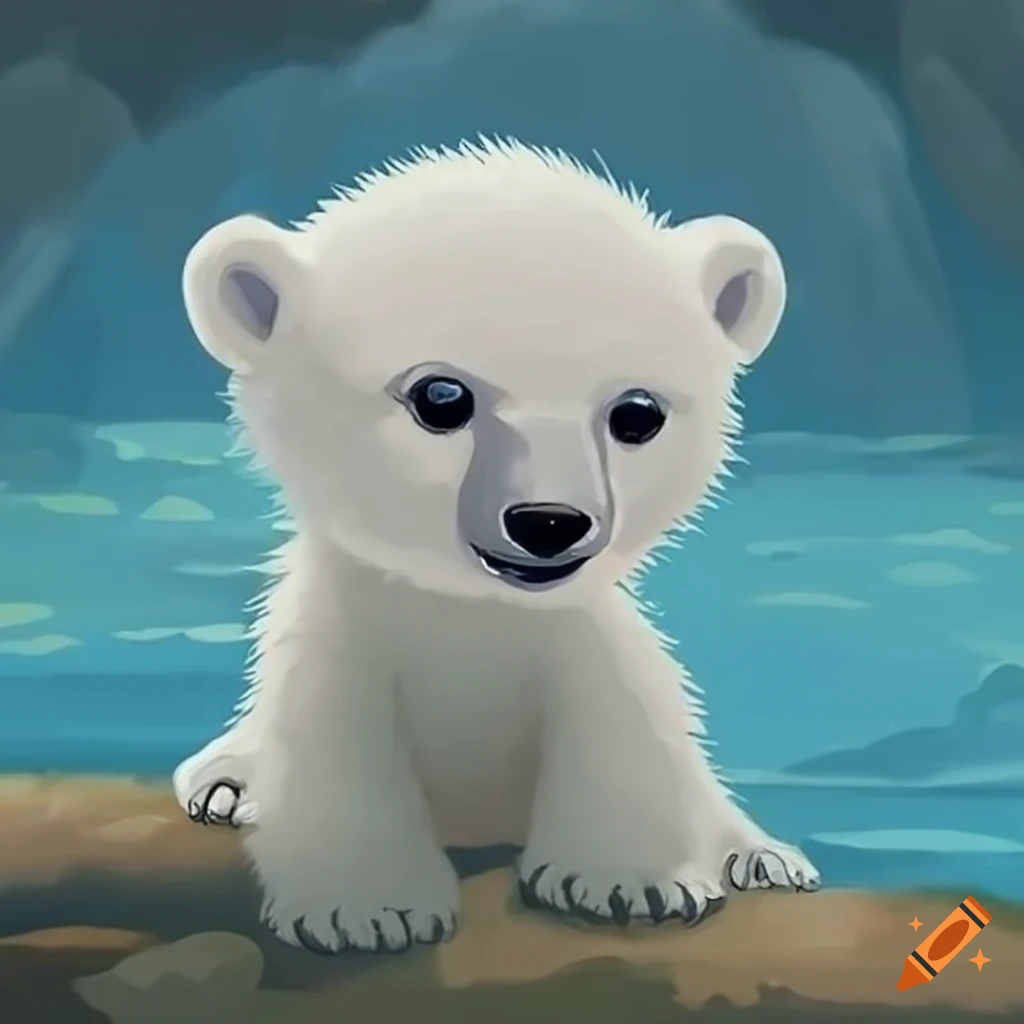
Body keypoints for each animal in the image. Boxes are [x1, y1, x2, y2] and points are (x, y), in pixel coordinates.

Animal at [172, 137, 820, 954]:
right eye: (441, 397)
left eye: (636, 412)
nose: (549, 521)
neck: (472, 610)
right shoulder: (345, 642)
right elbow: (335, 741)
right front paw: (368, 910)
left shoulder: (580, 645)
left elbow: (625, 720)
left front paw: (628, 883)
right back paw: (223, 782)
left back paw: (766, 859)